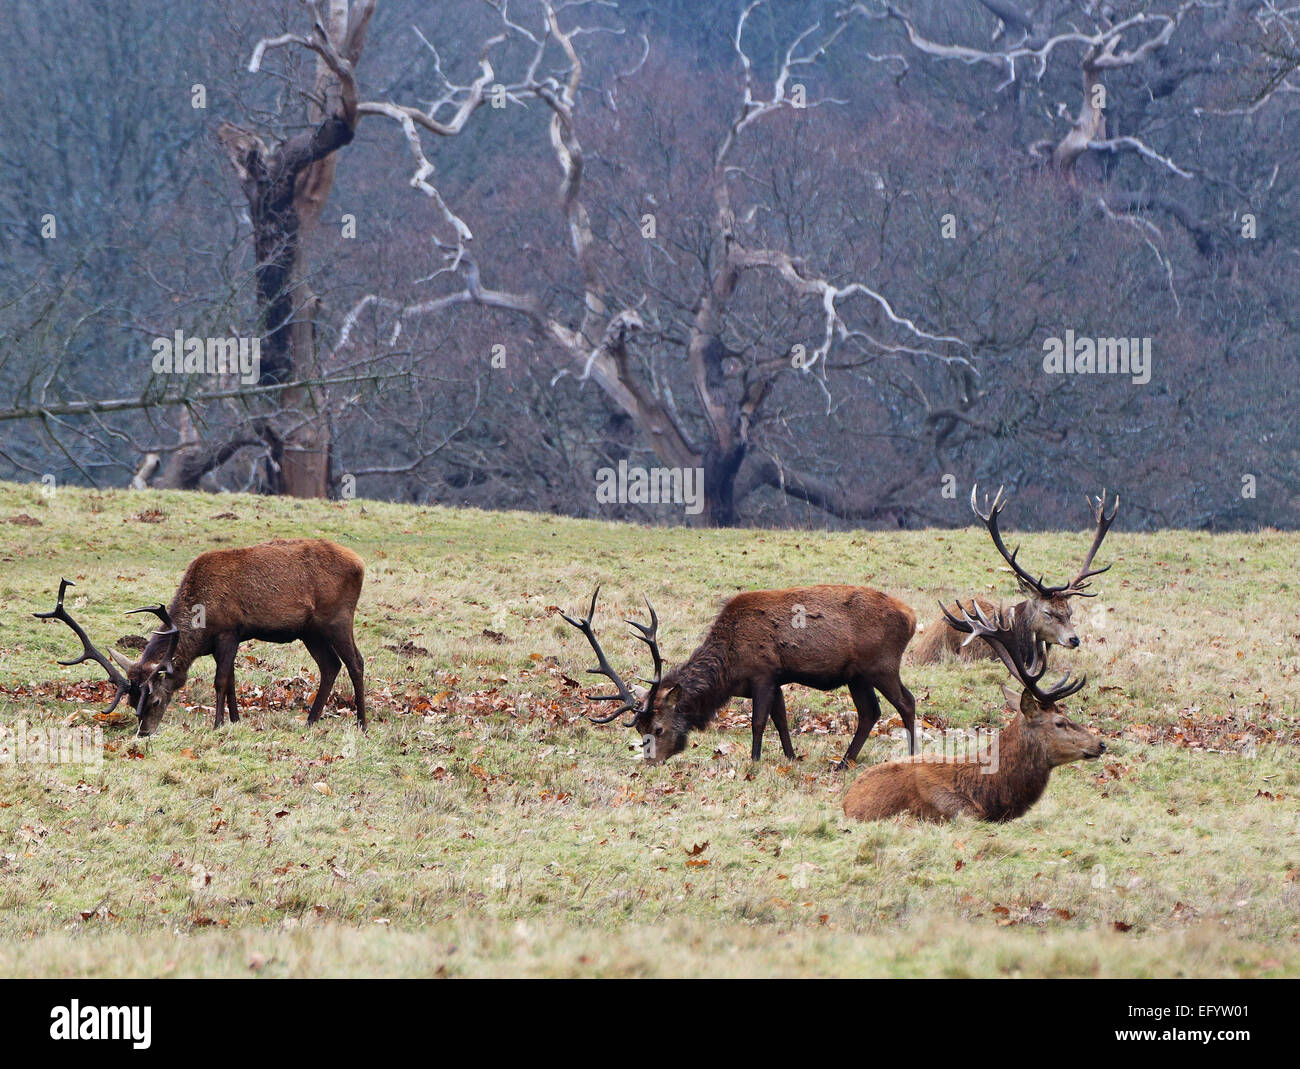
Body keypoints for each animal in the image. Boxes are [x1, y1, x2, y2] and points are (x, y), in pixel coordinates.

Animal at [33, 539, 365, 737]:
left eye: (154, 699)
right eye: (130, 701)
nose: (143, 733)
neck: (200, 626)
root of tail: (360, 562)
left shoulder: (230, 631)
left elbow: (221, 680)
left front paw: (218, 724)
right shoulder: (224, 642)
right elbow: (231, 680)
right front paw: (235, 720)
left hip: (337, 617)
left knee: (355, 662)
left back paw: (362, 723)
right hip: (310, 630)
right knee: (330, 665)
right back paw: (310, 721)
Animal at [561, 585, 917, 768]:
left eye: (658, 728)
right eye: (640, 730)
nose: (650, 763)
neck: (728, 670)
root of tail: (912, 617)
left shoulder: (764, 673)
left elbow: (758, 722)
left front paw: (755, 760)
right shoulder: (774, 682)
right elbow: (781, 720)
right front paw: (791, 757)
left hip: (881, 664)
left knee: (907, 702)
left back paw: (912, 756)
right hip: (857, 676)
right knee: (870, 712)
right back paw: (843, 762)